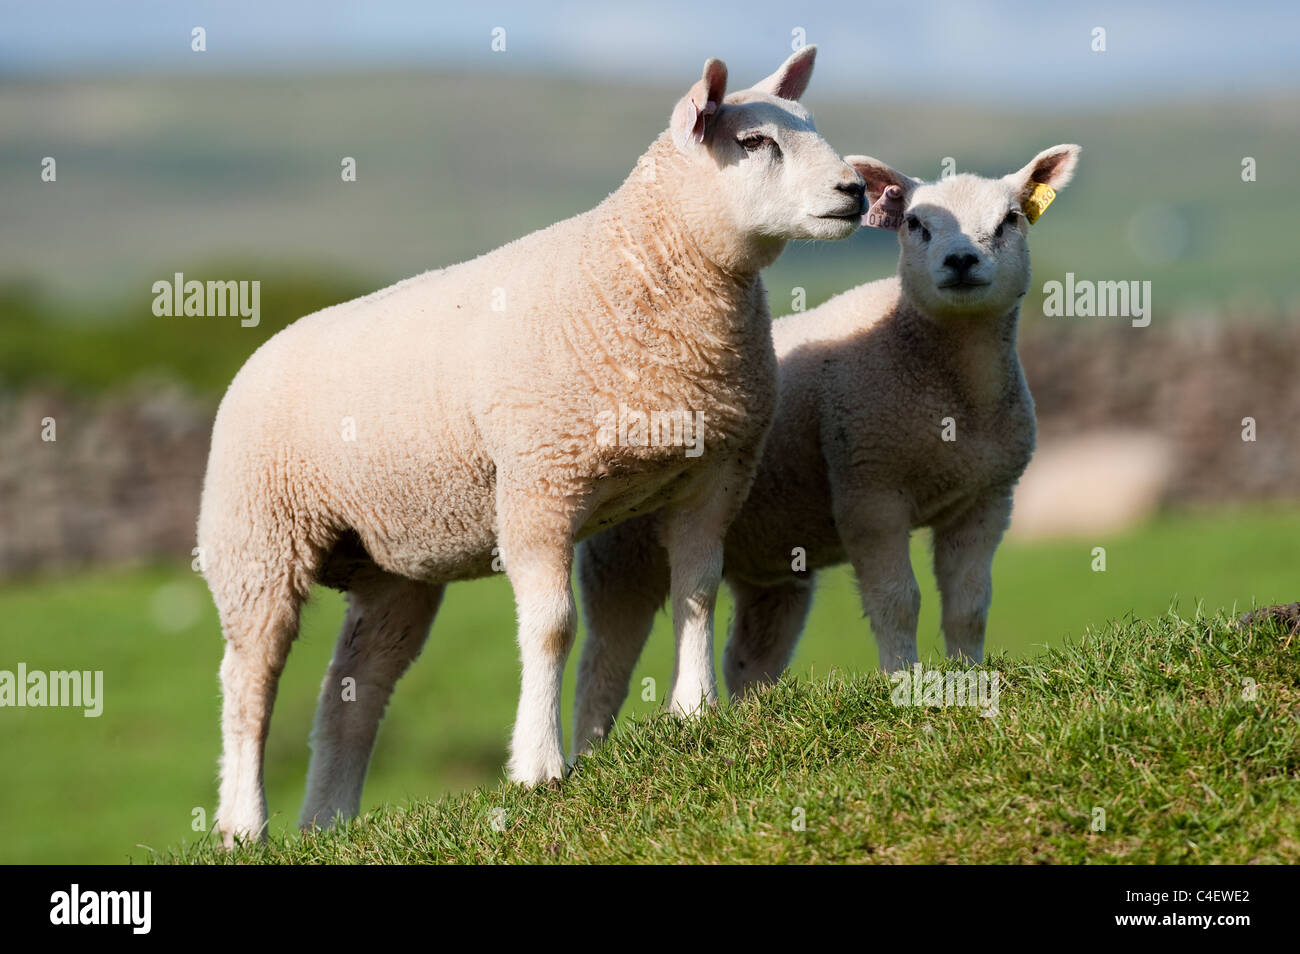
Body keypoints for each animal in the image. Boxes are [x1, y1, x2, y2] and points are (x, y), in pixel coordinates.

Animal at [198, 46, 867, 845]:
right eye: (754, 142)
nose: (855, 190)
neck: (647, 275)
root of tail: (260, 353)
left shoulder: (717, 471)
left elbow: (698, 590)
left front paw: (694, 713)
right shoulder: (538, 482)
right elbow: (551, 626)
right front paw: (539, 766)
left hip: (393, 561)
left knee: (354, 688)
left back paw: (329, 820)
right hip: (257, 542)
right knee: (248, 681)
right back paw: (243, 823)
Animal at [572, 145, 1080, 752]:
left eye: (1010, 220)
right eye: (916, 224)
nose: (960, 260)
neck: (954, 394)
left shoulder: (987, 498)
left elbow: (969, 606)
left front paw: (967, 677)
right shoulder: (870, 491)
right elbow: (898, 600)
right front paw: (904, 681)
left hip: (768, 557)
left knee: (749, 654)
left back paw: (755, 716)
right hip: (620, 550)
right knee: (604, 666)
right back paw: (585, 757)